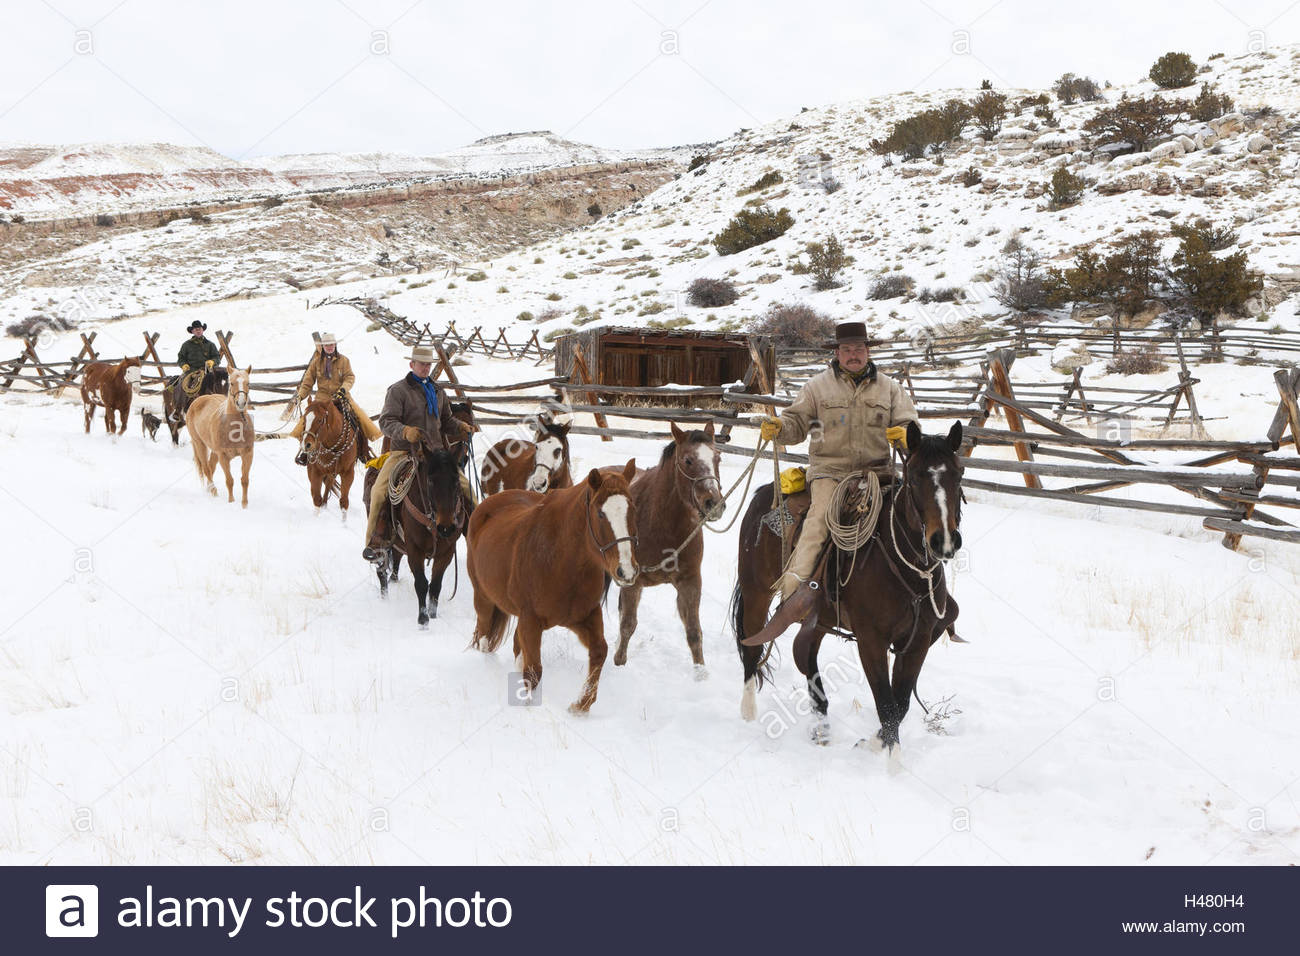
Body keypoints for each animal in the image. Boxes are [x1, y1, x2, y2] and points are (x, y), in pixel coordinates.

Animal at [186, 366, 254, 508]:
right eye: (232, 383)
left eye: (248, 383)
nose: (241, 403)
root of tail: (199, 400)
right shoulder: (223, 456)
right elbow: (229, 480)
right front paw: (231, 502)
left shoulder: (248, 454)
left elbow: (244, 480)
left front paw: (244, 505)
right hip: (199, 444)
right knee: (206, 469)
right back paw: (213, 491)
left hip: (214, 451)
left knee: (211, 467)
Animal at [363, 441, 469, 626]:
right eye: (431, 481)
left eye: (456, 481)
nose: (446, 527)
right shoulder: (414, 548)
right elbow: (421, 583)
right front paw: (423, 620)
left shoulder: (446, 552)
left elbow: (435, 585)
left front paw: (433, 615)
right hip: (380, 541)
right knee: (381, 569)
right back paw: (385, 600)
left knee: (395, 560)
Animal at [467, 460, 639, 713]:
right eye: (600, 513)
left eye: (632, 509)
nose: (626, 571)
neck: (562, 560)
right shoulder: (530, 620)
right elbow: (534, 671)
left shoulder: (585, 615)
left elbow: (600, 651)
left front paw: (581, 704)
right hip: (484, 598)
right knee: (484, 638)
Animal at [611, 422, 725, 673]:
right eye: (688, 460)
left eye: (718, 458)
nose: (714, 503)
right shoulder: (632, 582)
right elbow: (628, 624)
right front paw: (618, 662)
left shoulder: (690, 581)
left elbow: (694, 632)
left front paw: (700, 674)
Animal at [731, 421, 964, 755]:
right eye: (916, 477)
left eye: (958, 474)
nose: (943, 541)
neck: (903, 566)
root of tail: (764, 493)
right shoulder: (871, 641)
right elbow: (886, 705)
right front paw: (893, 762)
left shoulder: (918, 640)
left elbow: (901, 704)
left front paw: (874, 743)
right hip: (756, 593)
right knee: (751, 647)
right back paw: (748, 713)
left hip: (818, 616)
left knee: (807, 656)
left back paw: (821, 726)